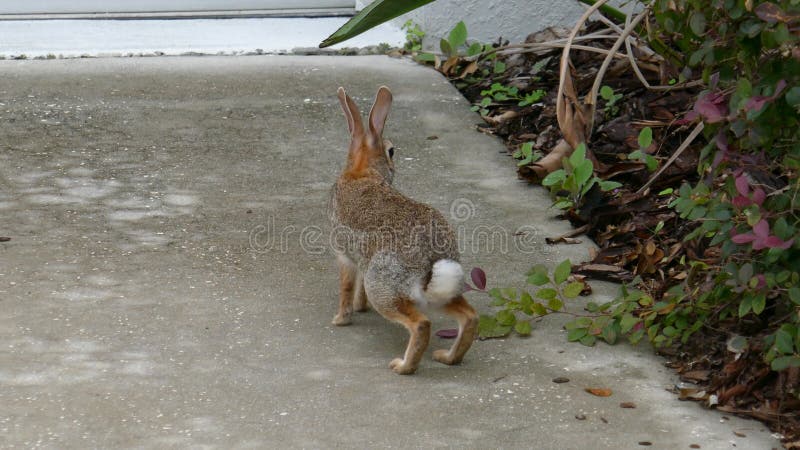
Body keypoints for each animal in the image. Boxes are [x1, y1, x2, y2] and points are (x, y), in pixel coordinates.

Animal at [328, 86, 478, 375]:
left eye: (392, 150)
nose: (394, 168)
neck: (363, 172)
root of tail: (431, 263)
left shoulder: (344, 257)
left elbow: (346, 287)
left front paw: (341, 319)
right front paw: (360, 307)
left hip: (383, 286)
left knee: (421, 324)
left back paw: (403, 366)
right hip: (442, 292)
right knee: (470, 317)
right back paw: (448, 358)